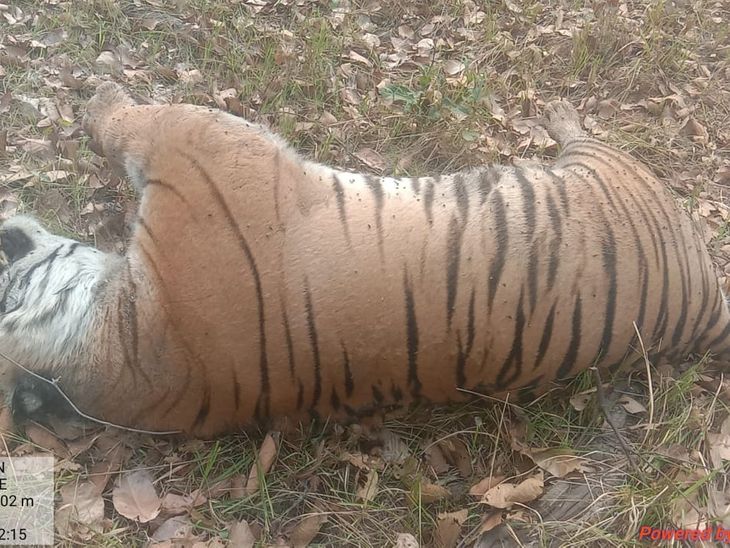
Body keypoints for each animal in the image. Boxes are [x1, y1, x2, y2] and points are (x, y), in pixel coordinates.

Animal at [0, 82, 728, 437]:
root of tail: (706, 309)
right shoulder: (194, 140)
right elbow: (126, 123)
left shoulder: (191, 135)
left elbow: (124, 123)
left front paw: (95, 95)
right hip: (604, 167)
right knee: (583, 136)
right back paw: (558, 111)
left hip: (607, 165)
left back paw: (557, 109)